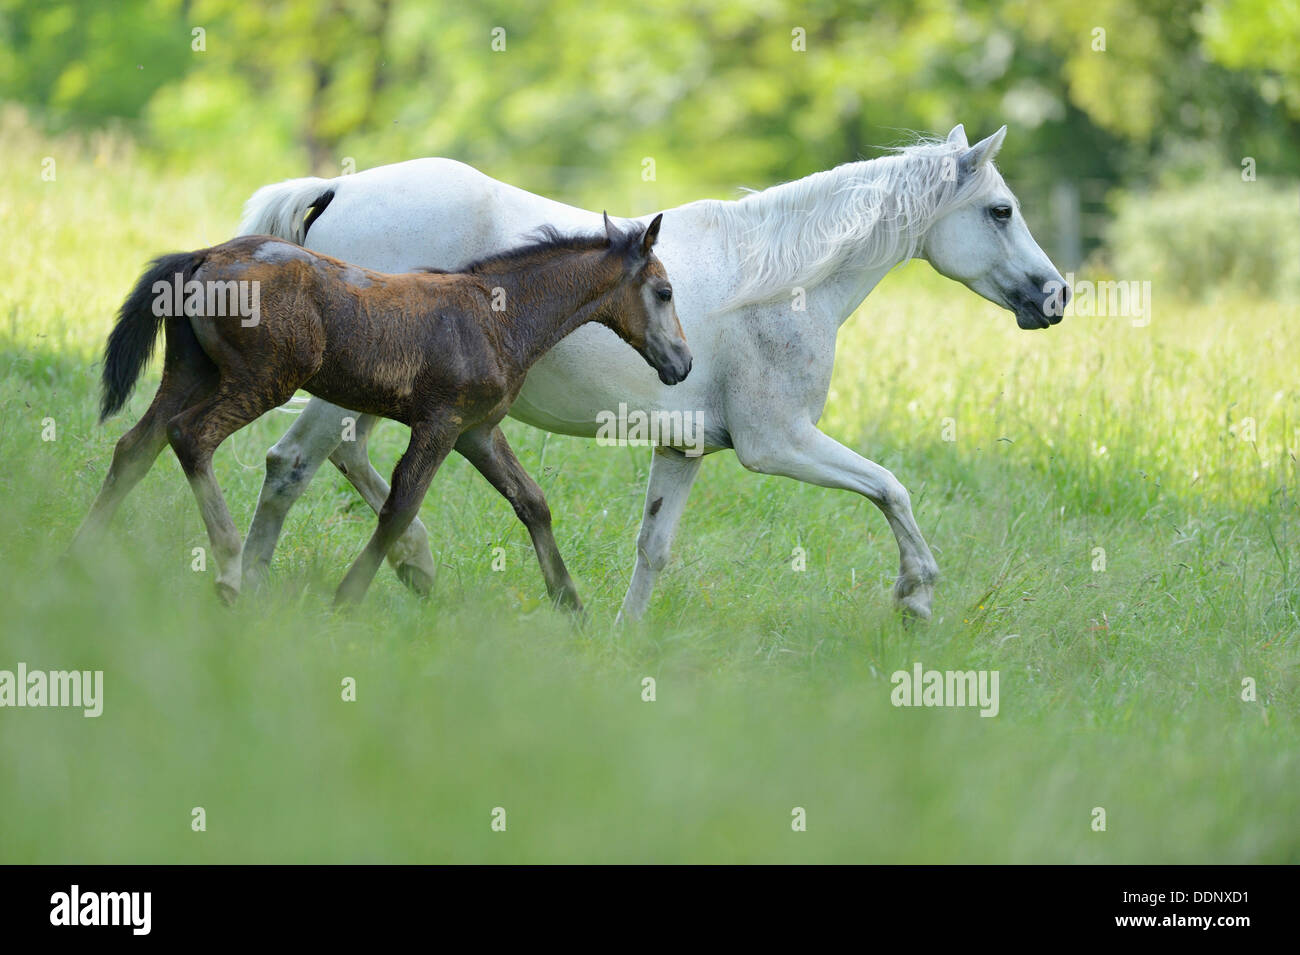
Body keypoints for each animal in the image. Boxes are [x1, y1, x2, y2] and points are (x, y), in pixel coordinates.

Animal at [69, 215, 690, 607]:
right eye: (664, 292)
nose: (682, 363)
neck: (497, 318)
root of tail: (205, 255)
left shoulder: (479, 431)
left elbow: (532, 502)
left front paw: (571, 604)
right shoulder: (440, 424)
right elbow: (399, 507)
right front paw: (348, 598)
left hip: (189, 372)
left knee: (135, 447)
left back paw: (82, 549)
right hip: (262, 380)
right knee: (189, 436)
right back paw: (228, 570)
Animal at [235, 124, 1068, 620]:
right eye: (1000, 211)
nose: (1057, 296)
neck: (781, 283)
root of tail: (337, 189)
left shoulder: (684, 448)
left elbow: (654, 548)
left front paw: (623, 638)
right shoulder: (781, 444)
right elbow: (892, 487)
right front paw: (916, 597)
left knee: (341, 459)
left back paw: (412, 564)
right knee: (290, 464)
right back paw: (253, 586)